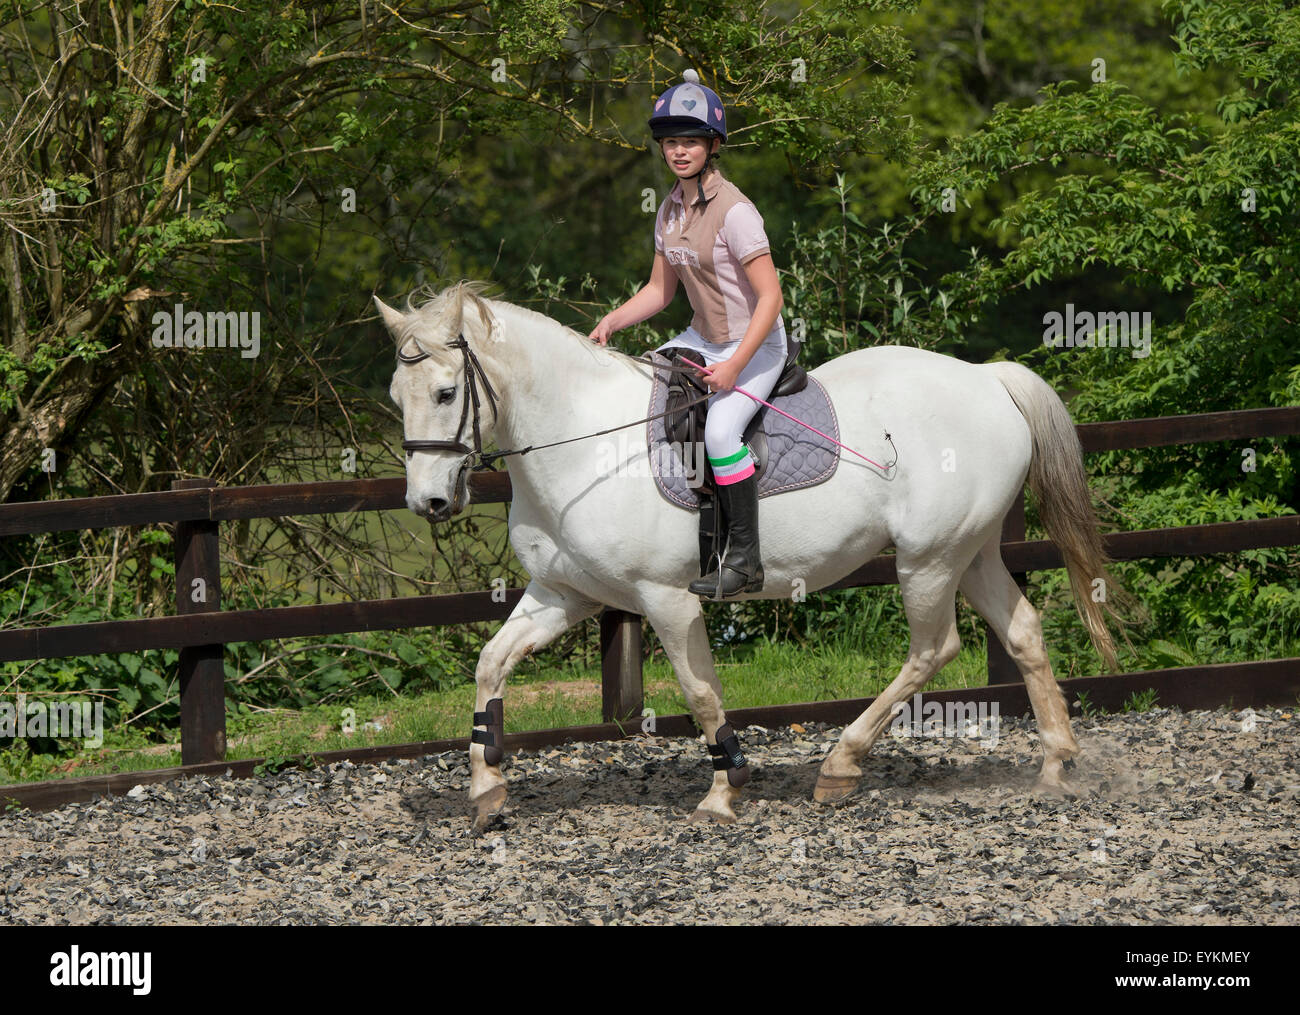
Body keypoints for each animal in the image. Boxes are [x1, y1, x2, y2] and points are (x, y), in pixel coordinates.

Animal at [377, 281, 1126, 832]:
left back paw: (840, 764)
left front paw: (723, 790)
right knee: (1023, 632)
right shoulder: (567, 593)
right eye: (396, 397)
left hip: (930, 559)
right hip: (971, 553)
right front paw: (486, 787)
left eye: (446, 392)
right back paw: (1056, 765)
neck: (584, 439)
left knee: (932, 649)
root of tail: (987, 379)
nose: (428, 502)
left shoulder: (666, 598)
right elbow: (490, 663)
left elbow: (701, 692)